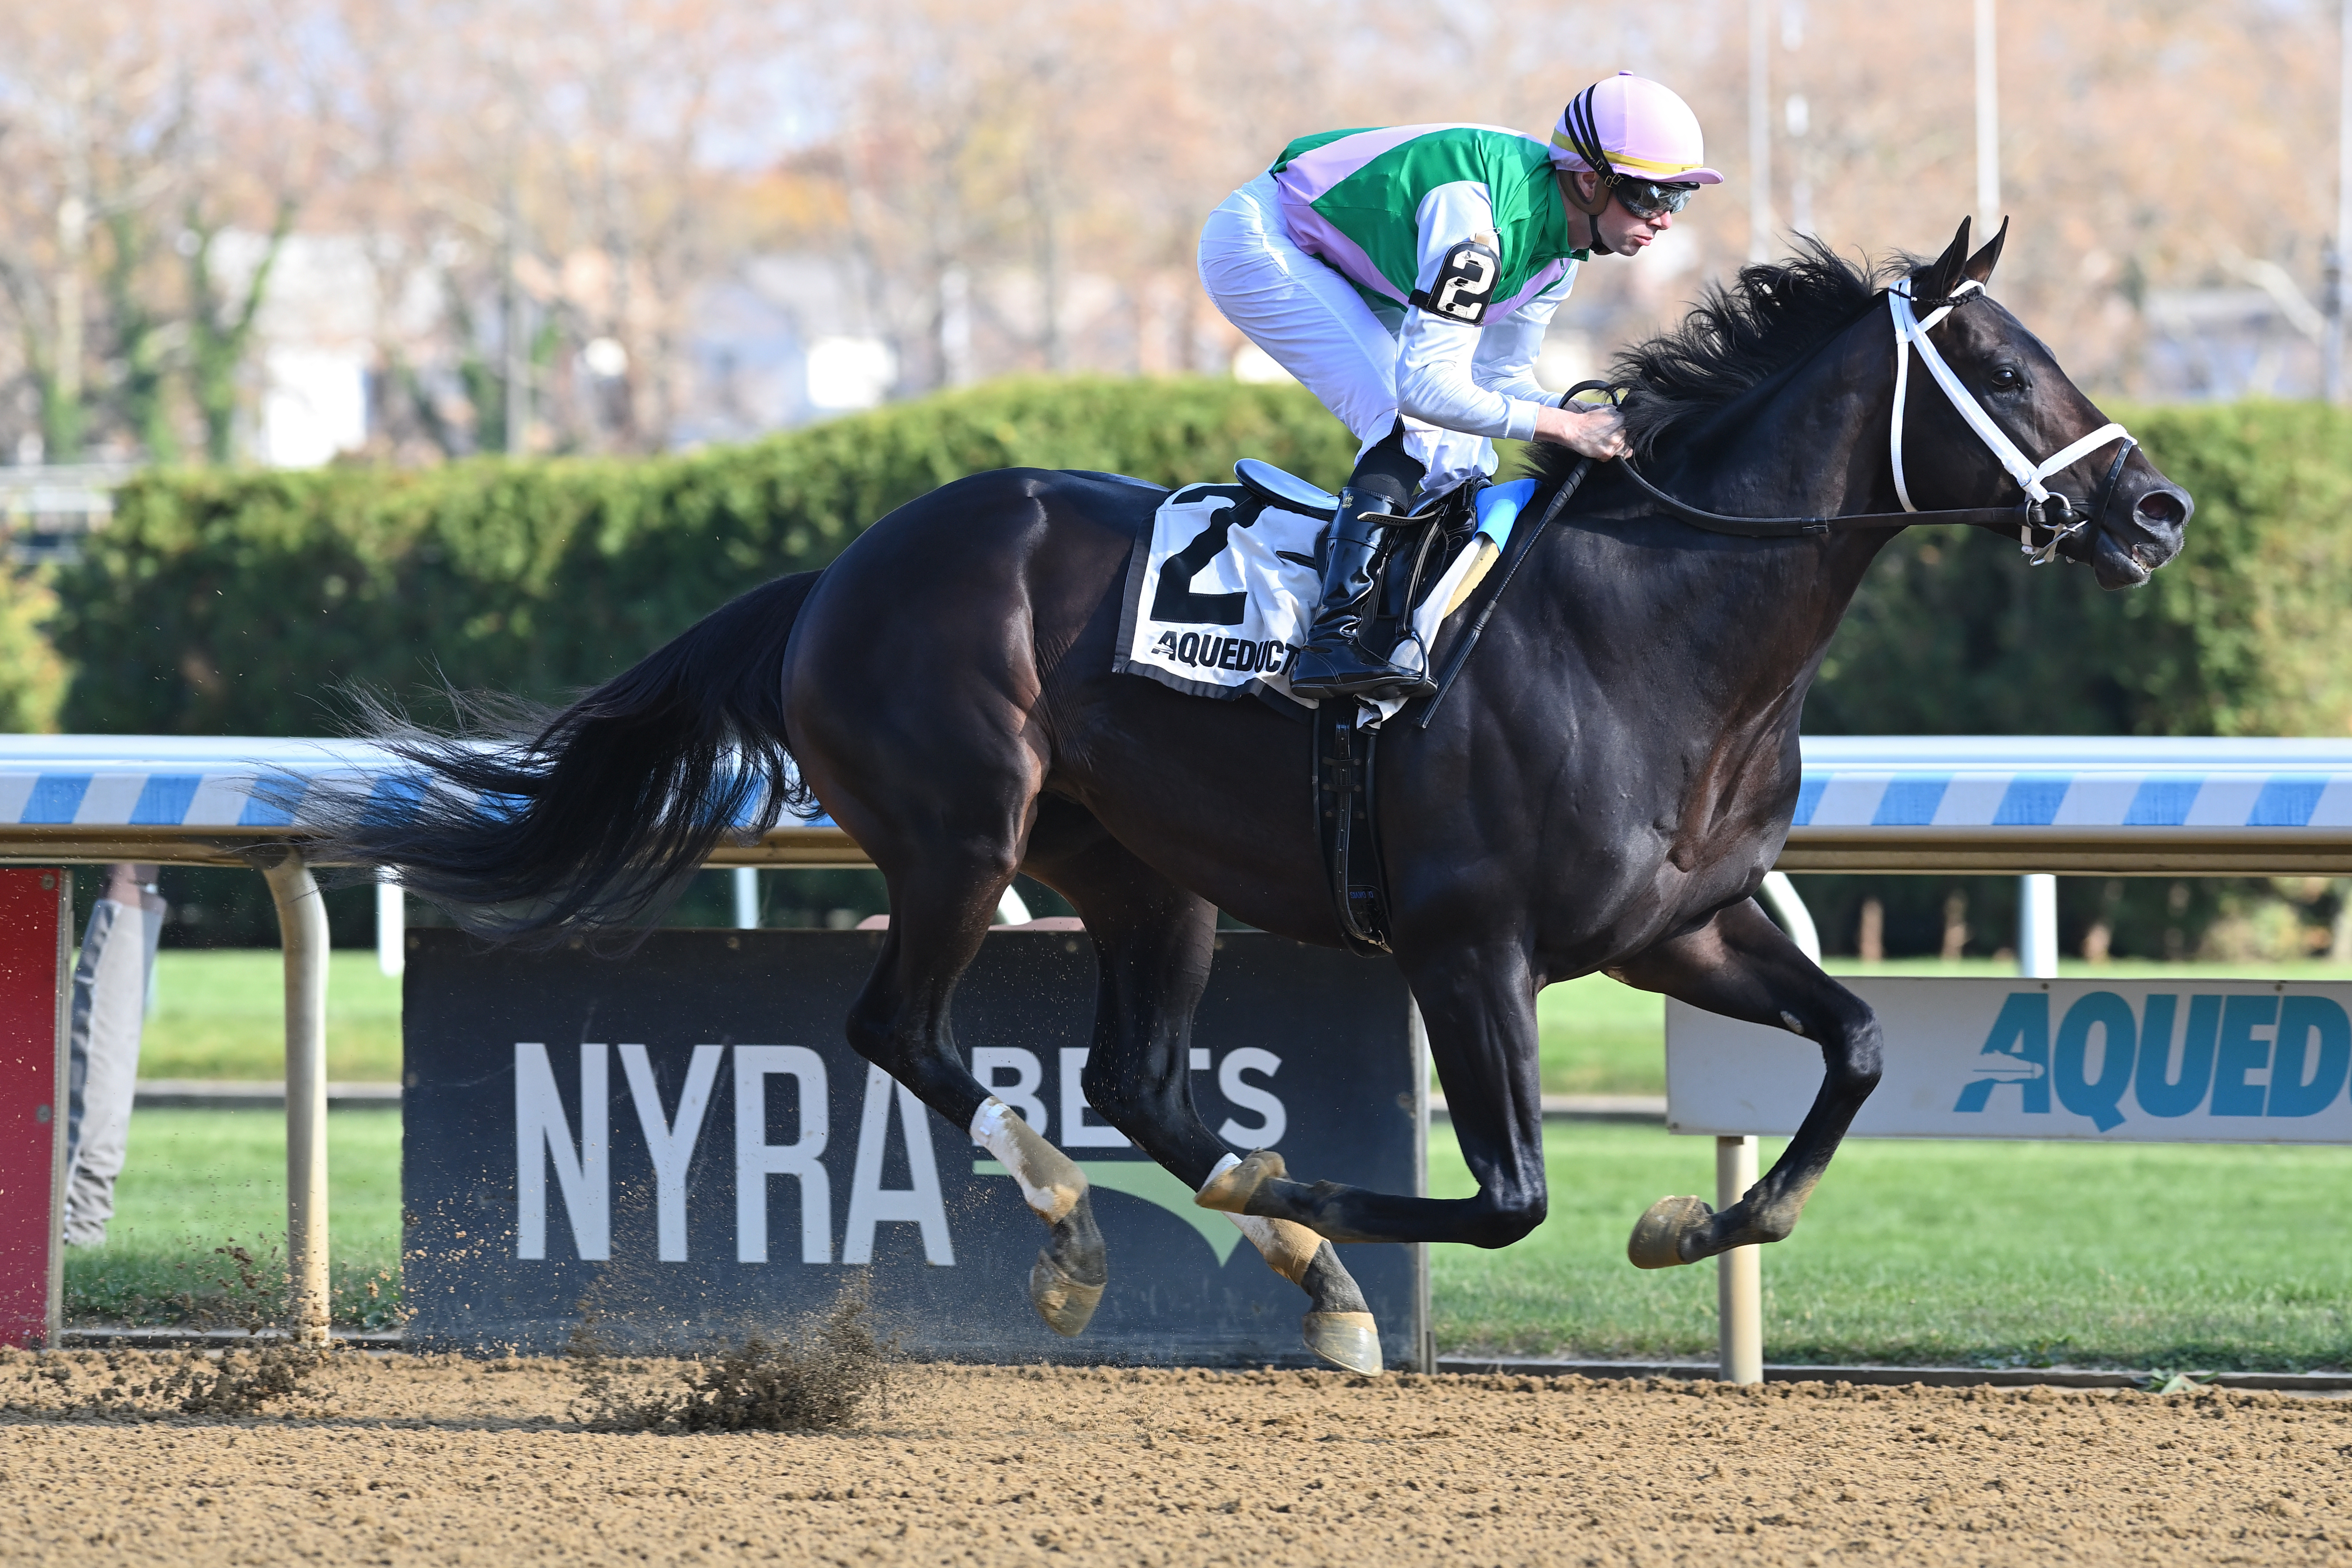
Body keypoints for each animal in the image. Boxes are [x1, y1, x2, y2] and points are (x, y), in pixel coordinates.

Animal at [322, 218, 2191, 1375]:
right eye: (2002, 371)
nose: (2156, 510)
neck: (1653, 625)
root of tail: (832, 571)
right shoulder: (1466, 944)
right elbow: (1506, 1194)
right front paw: (1322, 1209)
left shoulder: (1682, 925)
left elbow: (1855, 1043)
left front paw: (1700, 1216)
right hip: (961, 830)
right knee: (908, 1033)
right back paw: (1094, 1226)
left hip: (1149, 874)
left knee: (1131, 1079)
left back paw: (1273, 1257)